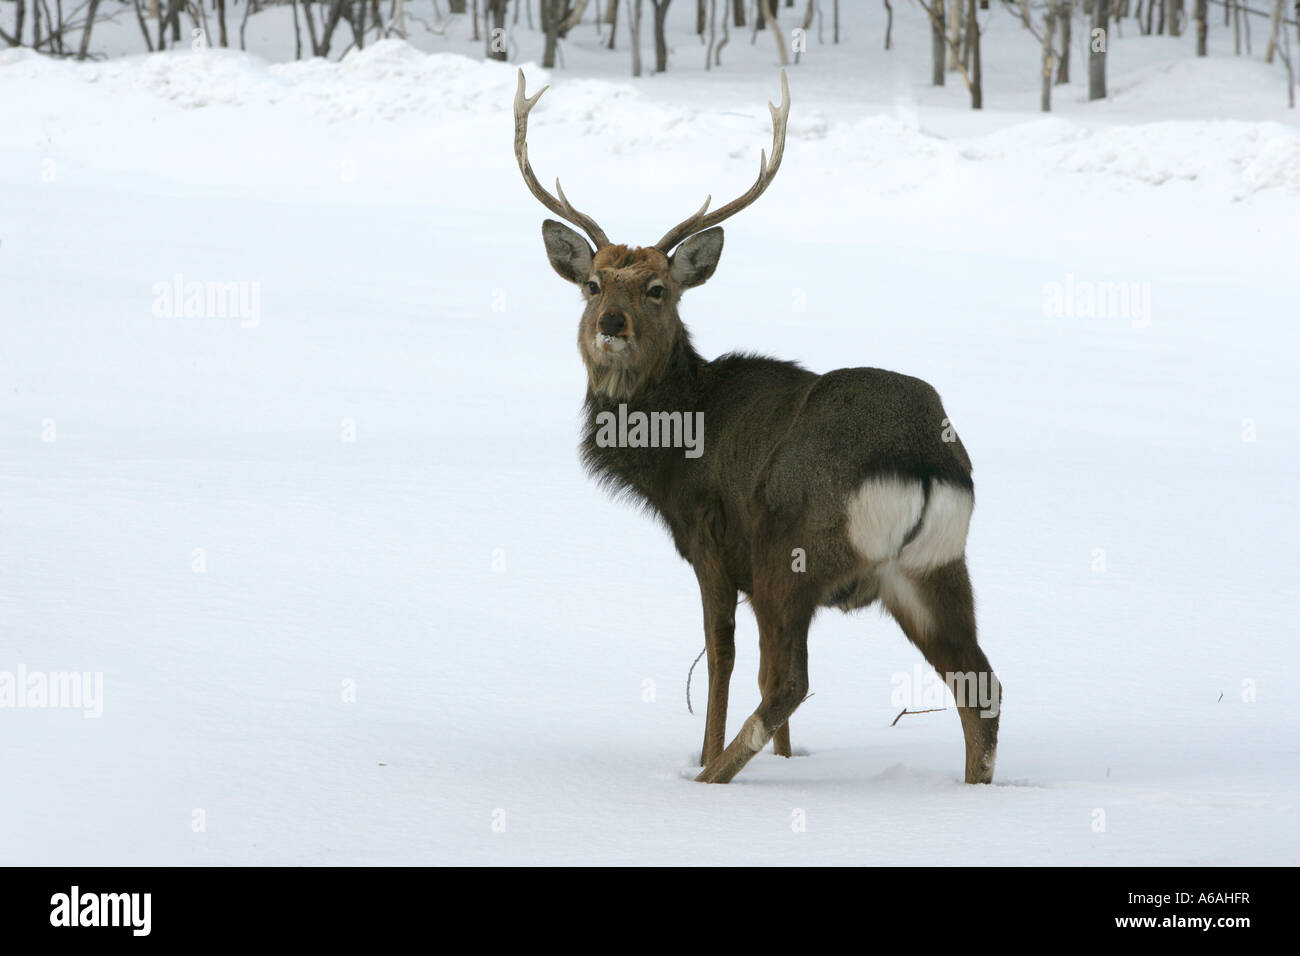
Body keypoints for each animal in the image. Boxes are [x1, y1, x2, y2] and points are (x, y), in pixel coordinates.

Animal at [512, 69, 1001, 785]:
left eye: (658, 289)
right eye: (593, 284)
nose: (611, 325)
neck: (675, 447)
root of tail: (924, 464)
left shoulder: (711, 541)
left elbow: (720, 658)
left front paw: (704, 752)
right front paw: (791, 762)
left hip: (792, 551)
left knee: (788, 682)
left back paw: (711, 778)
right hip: (933, 566)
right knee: (979, 683)